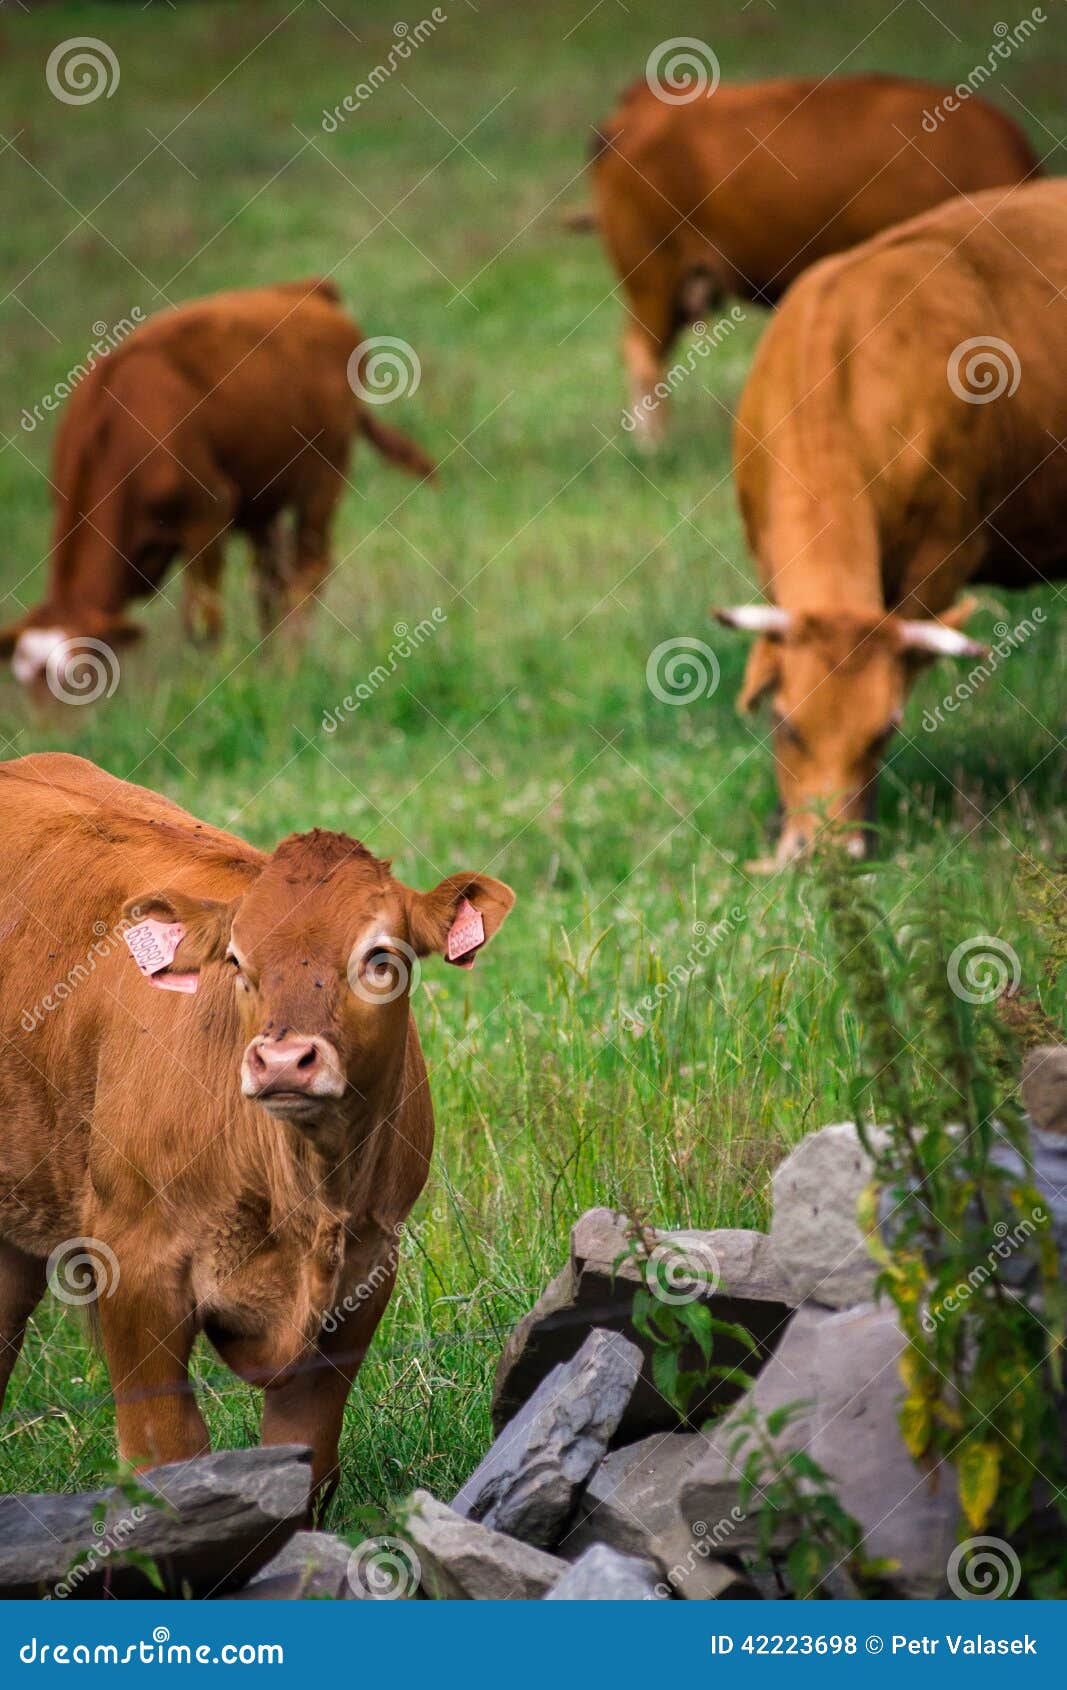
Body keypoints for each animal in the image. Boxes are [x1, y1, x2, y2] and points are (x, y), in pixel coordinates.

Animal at [0, 752, 513, 1514]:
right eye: (237, 962)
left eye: (380, 958)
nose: (283, 1060)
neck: (303, 1198)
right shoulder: (134, 1262)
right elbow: (167, 1454)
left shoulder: (368, 1266)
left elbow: (307, 1455)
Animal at [2, 279, 436, 691]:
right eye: (25, 686)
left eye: (80, 677)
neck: (113, 431)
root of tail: (312, 291)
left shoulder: (208, 515)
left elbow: (202, 624)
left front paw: (206, 685)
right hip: (264, 500)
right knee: (271, 582)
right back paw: (270, 663)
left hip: (324, 473)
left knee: (307, 570)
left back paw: (293, 662)